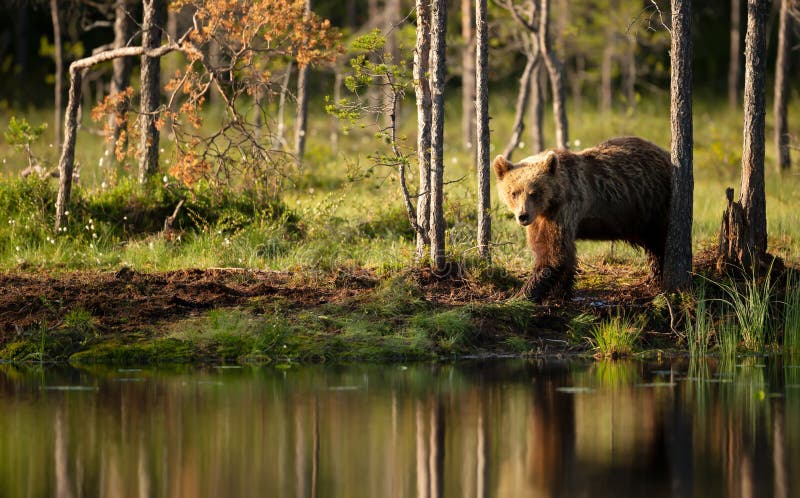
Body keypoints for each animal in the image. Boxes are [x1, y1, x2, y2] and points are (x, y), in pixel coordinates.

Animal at [493, 136, 672, 302]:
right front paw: (560, 292)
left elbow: (552, 253)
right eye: (514, 193)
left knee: (660, 241)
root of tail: (665, 153)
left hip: (652, 202)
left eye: (534, 193)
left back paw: (659, 279)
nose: (523, 216)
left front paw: (522, 294)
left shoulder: (564, 208)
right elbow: (558, 252)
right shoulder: (541, 218)